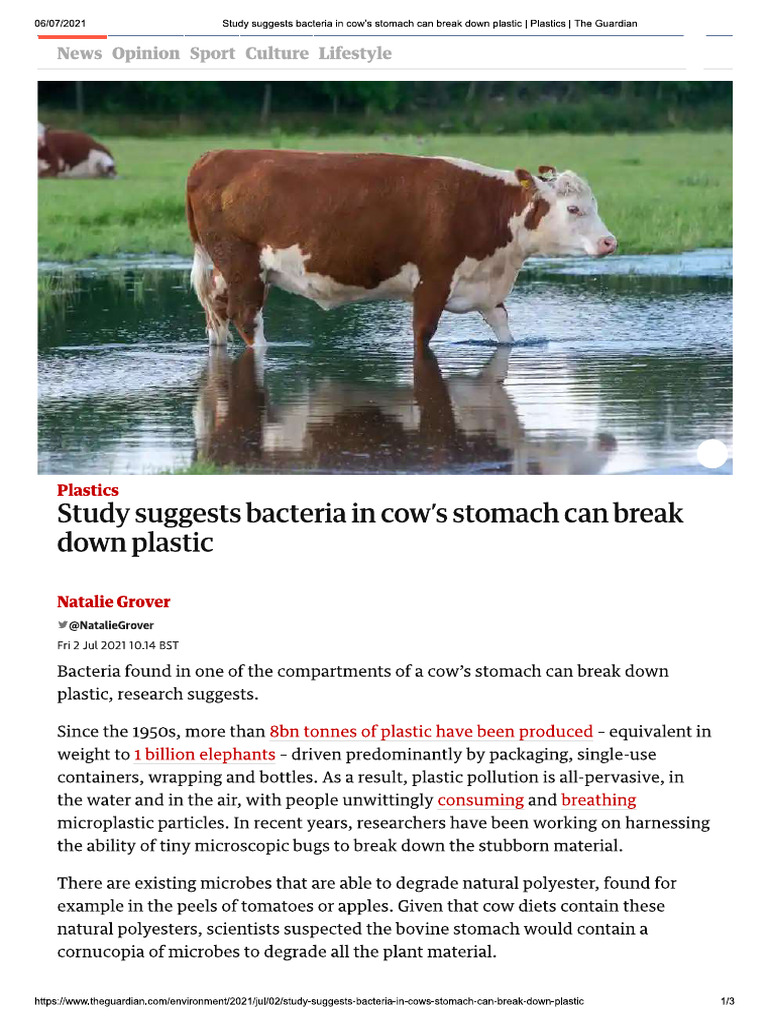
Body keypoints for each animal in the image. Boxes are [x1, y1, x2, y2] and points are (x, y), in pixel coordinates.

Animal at [186, 150, 617, 351]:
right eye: (573, 209)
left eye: (594, 204)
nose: (609, 241)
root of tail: (214, 155)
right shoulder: (433, 280)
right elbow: (422, 333)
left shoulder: (487, 289)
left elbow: (504, 330)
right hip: (242, 265)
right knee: (246, 318)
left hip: (225, 269)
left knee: (217, 311)